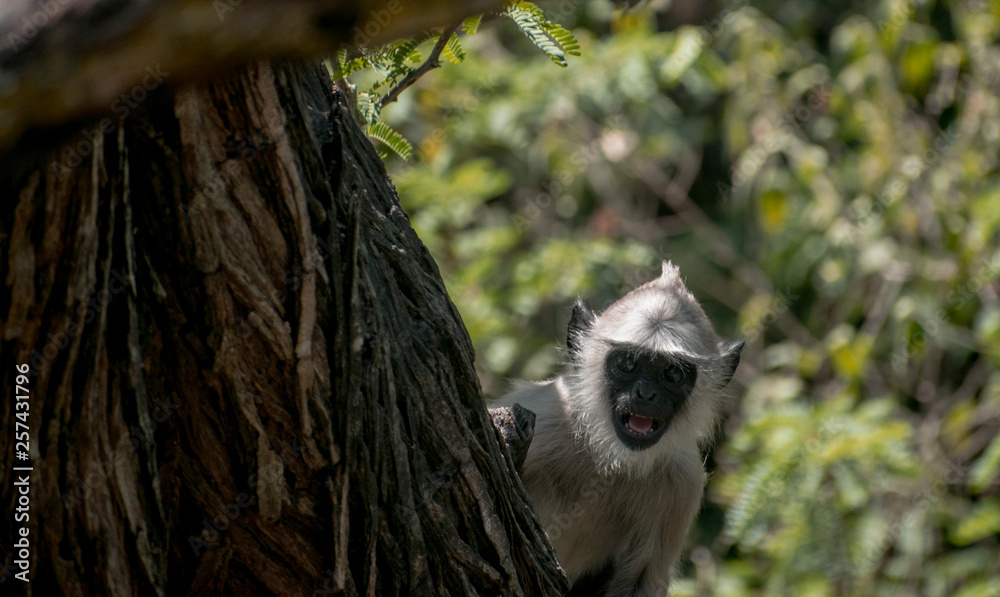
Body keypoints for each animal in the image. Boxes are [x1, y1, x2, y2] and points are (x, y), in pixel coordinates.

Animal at [496, 261, 744, 597]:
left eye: (673, 373)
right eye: (627, 363)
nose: (646, 394)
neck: (610, 458)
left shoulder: (683, 482)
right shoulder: (546, 414)